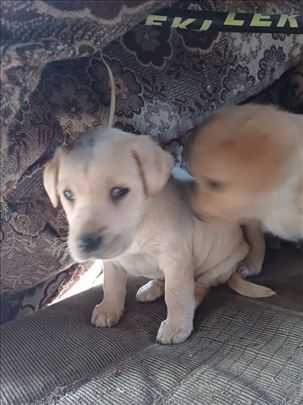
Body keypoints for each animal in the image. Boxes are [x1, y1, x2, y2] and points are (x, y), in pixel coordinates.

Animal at [45, 128, 276, 342]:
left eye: (119, 191)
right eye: (67, 194)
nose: (86, 244)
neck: (139, 225)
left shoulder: (176, 260)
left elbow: (175, 295)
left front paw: (176, 326)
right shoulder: (113, 262)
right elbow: (112, 286)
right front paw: (108, 309)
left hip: (216, 265)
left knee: (201, 286)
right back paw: (151, 288)